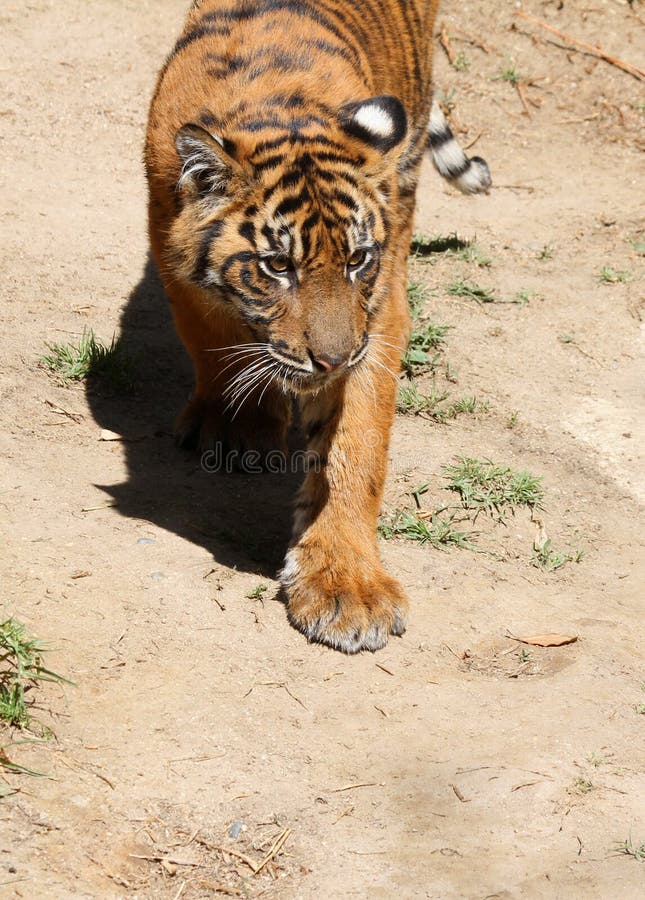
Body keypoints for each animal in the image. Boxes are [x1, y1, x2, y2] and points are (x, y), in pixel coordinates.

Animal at [144, 0, 491, 654]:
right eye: (278, 266)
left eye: (356, 260)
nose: (331, 361)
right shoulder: (172, 255)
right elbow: (214, 345)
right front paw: (238, 427)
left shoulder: (379, 313)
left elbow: (357, 444)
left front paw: (346, 587)